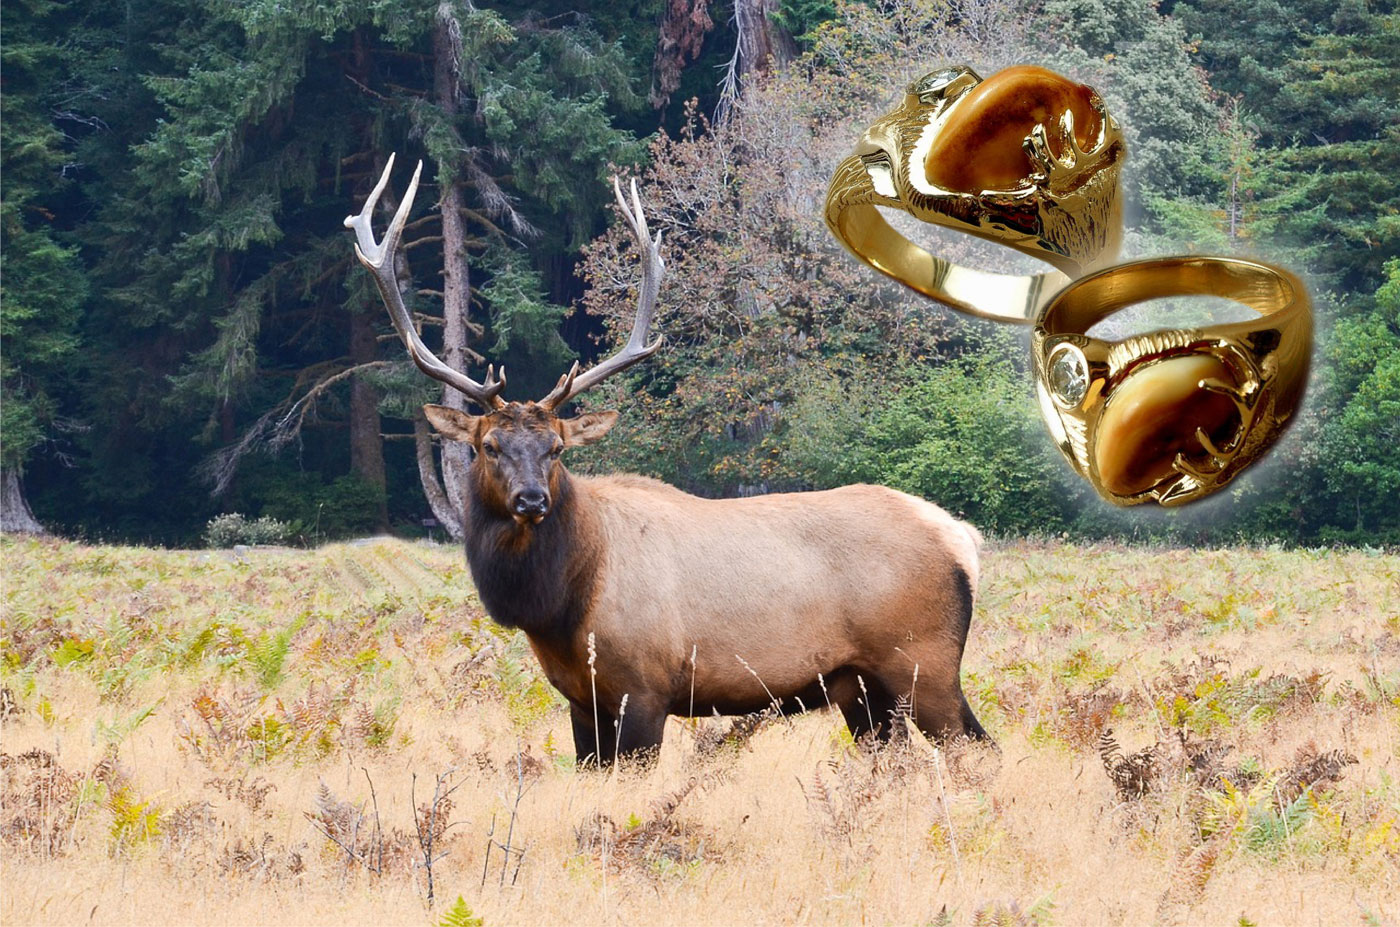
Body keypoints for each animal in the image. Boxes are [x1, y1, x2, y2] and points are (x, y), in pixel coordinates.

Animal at [346, 155, 989, 765]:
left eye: (557, 449)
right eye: (488, 446)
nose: (532, 499)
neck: (562, 607)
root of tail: (962, 537)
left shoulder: (645, 689)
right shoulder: (581, 699)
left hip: (923, 660)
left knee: (977, 748)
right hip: (859, 687)